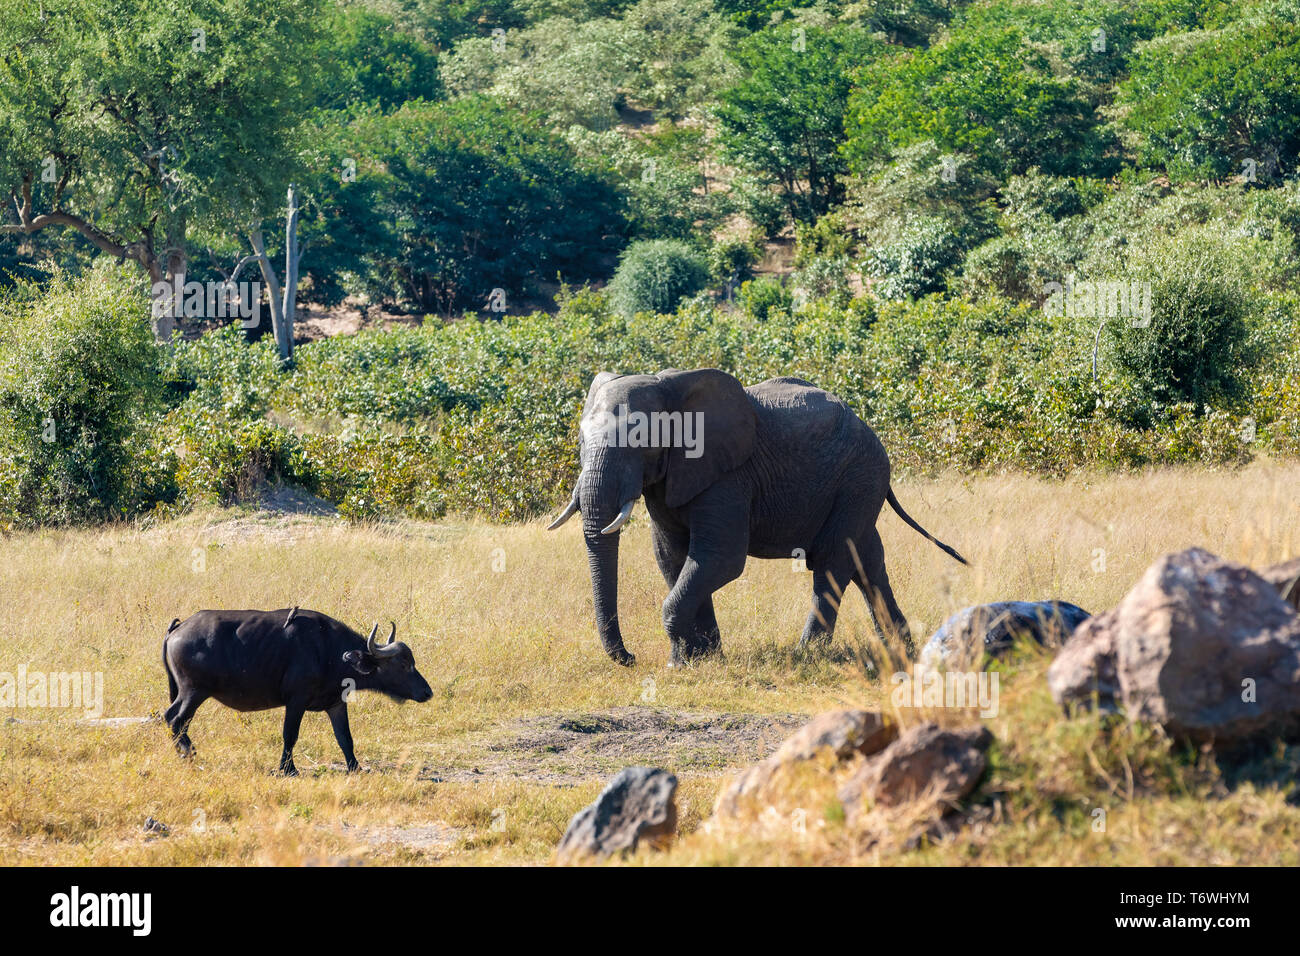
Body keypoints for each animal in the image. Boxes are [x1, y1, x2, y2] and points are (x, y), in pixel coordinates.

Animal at [162, 608, 433, 775]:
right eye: (403, 664)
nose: (427, 692)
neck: (329, 650)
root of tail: (177, 629)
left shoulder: (336, 704)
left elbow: (345, 737)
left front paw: (355, 767)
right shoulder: (296, 701)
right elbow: (290, 735)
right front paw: (288, 769)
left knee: (174, 720)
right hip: (193, 691)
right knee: (176, 719)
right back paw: (189, 754)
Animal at [547, 367, 968, 667]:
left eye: (640, 441)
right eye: (580, 442)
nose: (630, 658)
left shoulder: (729, 476)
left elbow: (720, 559)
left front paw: (681, 664)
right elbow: (674, 559)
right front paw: (704, 658)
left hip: (859, 477)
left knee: (832, 563)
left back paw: (807, 657)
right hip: (860, 485)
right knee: (867, 560)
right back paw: (902, 653)